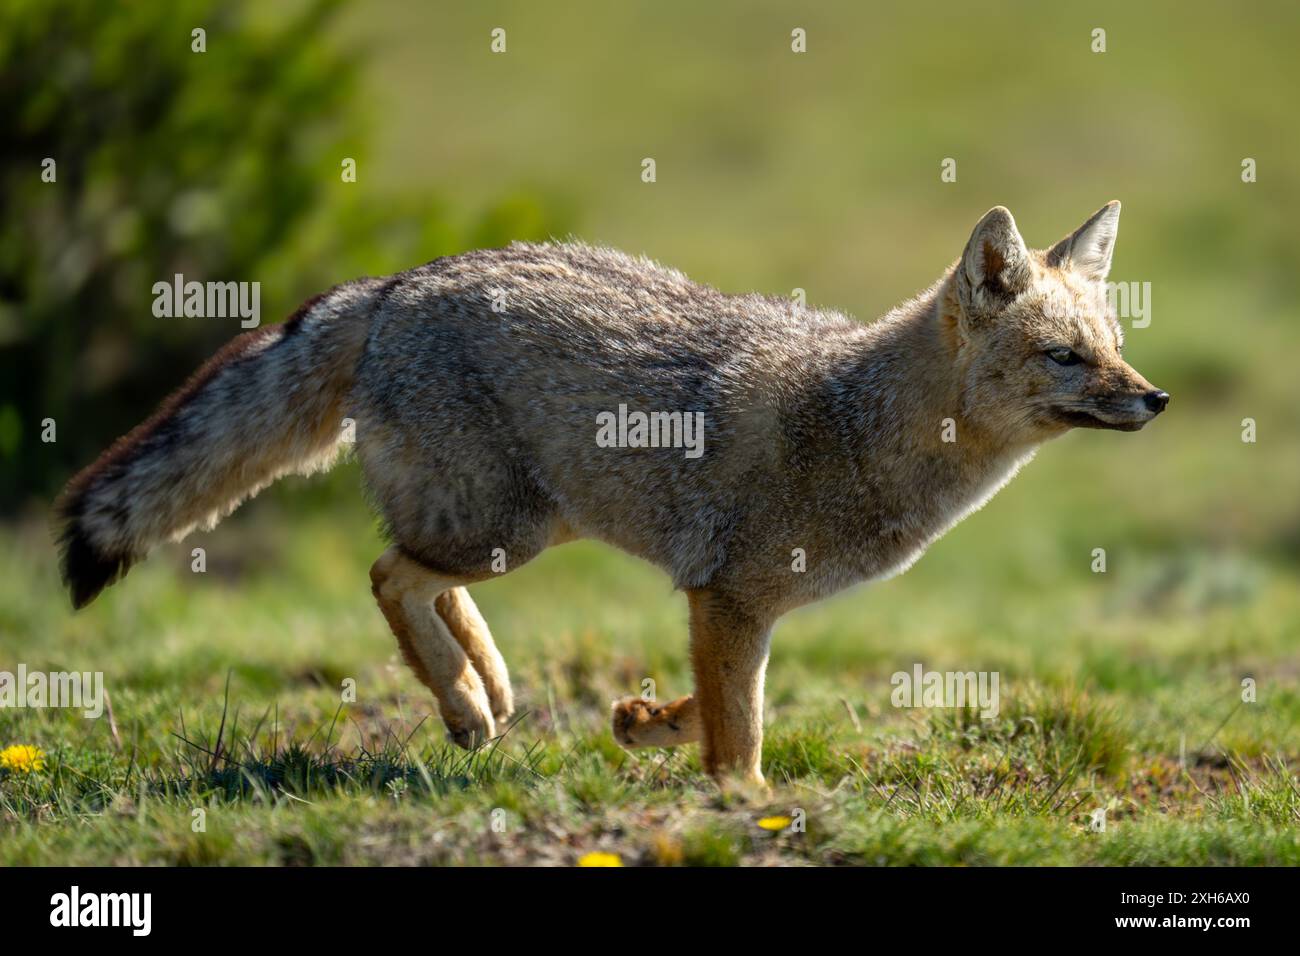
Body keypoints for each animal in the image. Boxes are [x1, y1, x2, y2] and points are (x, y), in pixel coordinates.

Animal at [55, 201, 1167, 787]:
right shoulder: (730, 596)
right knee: (387, 570)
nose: (1154, 399)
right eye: (1066, 358)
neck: (854, 423)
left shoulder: (729, 611)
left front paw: (643, 722)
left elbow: (711, 706)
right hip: (502, 528)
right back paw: (464, 704)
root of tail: (399, 282)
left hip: (518, 527)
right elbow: (739, 731)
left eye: (1113, 345)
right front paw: (745, 799)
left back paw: (488, 688)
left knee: (418, 576)